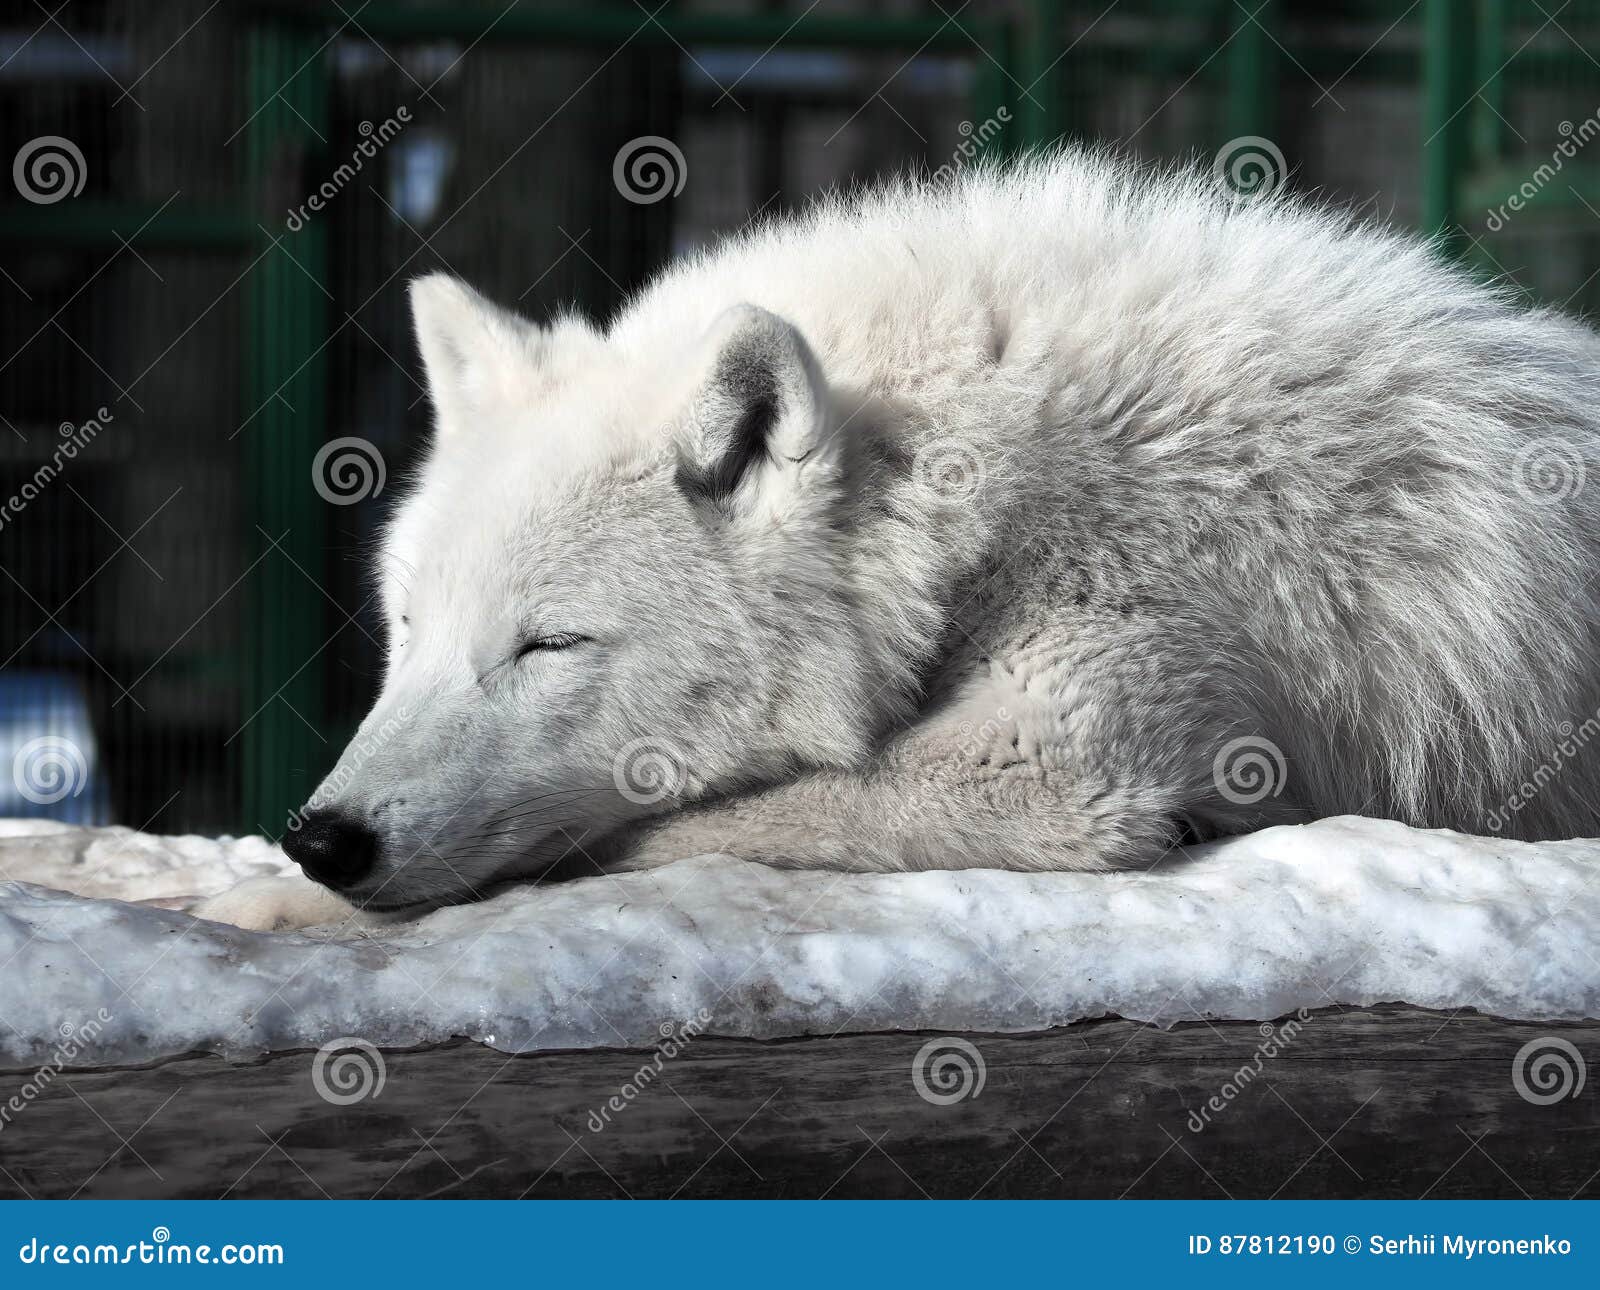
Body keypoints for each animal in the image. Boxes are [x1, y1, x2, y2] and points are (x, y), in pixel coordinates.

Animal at [196, 150, 1600, 932]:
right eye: (409, 629)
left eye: (549, 646)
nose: (325, 837)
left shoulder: (1062, 770)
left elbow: (635, 834)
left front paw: (263, 900)